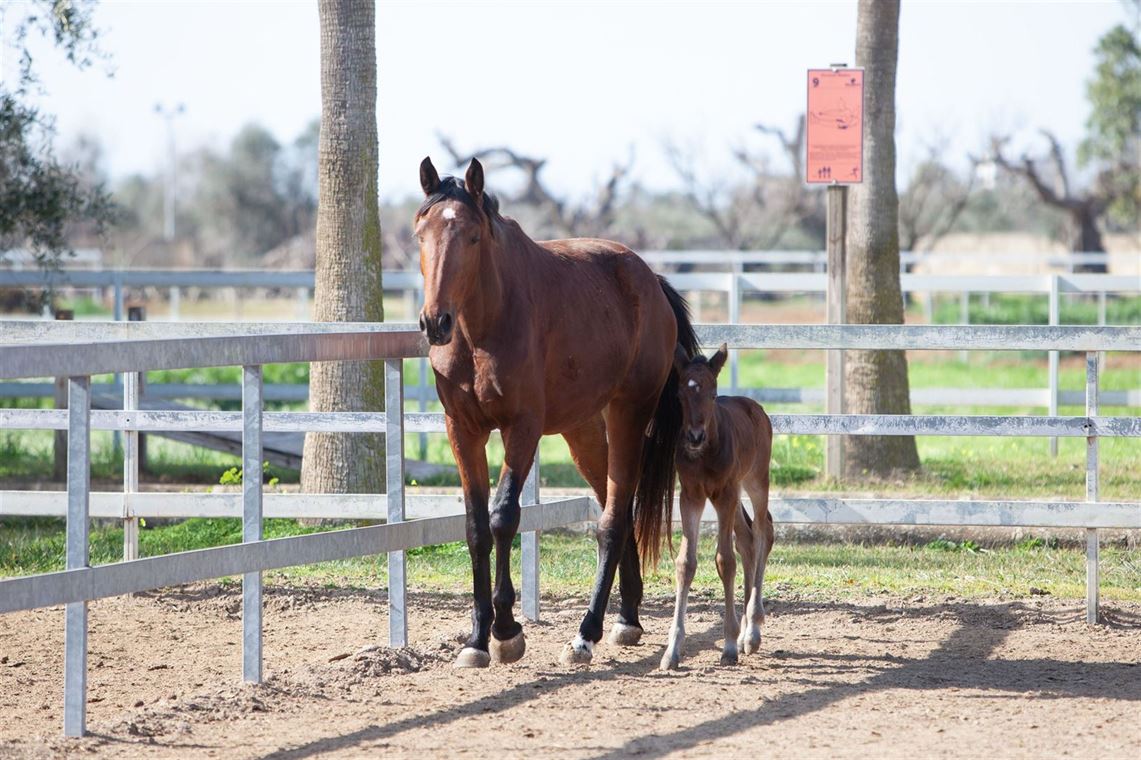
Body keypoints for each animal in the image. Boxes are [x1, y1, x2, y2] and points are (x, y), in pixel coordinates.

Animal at [414, 156, 698, 668]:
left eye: (472, 236)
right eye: (420, 233)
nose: (435, 321)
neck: (484, 327)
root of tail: (650, 282)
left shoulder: (521, 429)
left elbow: (504, 517)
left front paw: (507, 631)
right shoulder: (462, 430)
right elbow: (475, 527)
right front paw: (477, 638)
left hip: (627, 415)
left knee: (612, 519)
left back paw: (588, 632)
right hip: (583, 432)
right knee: (617, 507)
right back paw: (627, 617)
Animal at [660, 343, 774, 670]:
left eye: (712, 394)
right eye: (680, 395)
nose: (694, 436)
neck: (705, 452)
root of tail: (756, 408)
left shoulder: (725, 493)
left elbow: (725, 561)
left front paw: (729, 645)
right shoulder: (691, 496)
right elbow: (686, 563)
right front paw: (672, 650)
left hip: (755, 481)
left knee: (762, 533)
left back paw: (752, 629)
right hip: (733, 495)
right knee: (747, 540)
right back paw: (746, 630)